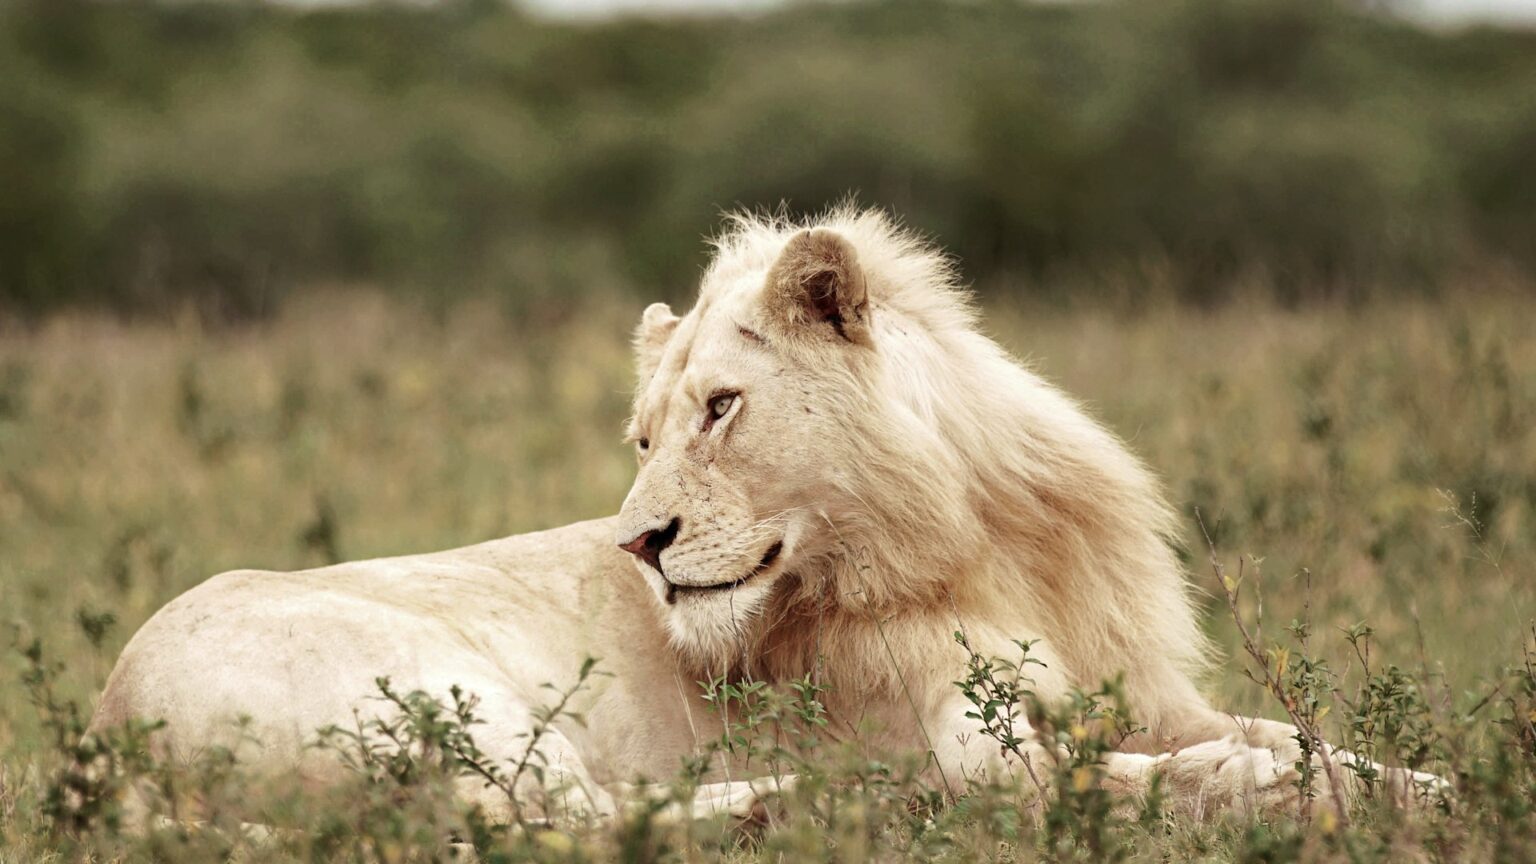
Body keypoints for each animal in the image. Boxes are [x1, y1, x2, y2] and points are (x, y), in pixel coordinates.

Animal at [93, 207, 1438, 827]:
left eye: (720, 409)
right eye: (643, 440)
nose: (638, 546)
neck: (974, 546)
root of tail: (104, 733)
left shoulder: (1143, 688)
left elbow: (1298, 733)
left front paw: (1417, 780)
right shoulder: (982, 747)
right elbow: (1174, 770)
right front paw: (1277, 789)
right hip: (437, 688)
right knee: (569, 819)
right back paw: (823, 800)